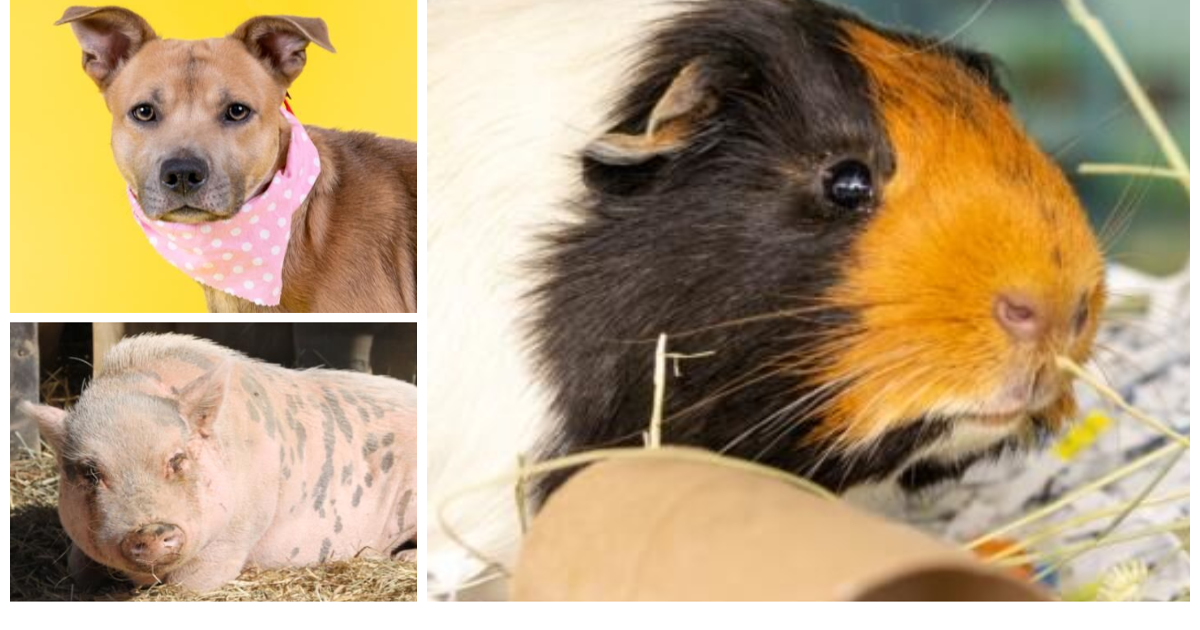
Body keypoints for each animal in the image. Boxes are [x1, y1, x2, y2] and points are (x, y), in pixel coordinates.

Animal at [20, 333, 417, 592]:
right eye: (90, 472)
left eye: (177, 458)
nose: (150, 530)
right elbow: (77, 568)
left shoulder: (238, 531)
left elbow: (187, 586)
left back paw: (400, 560)